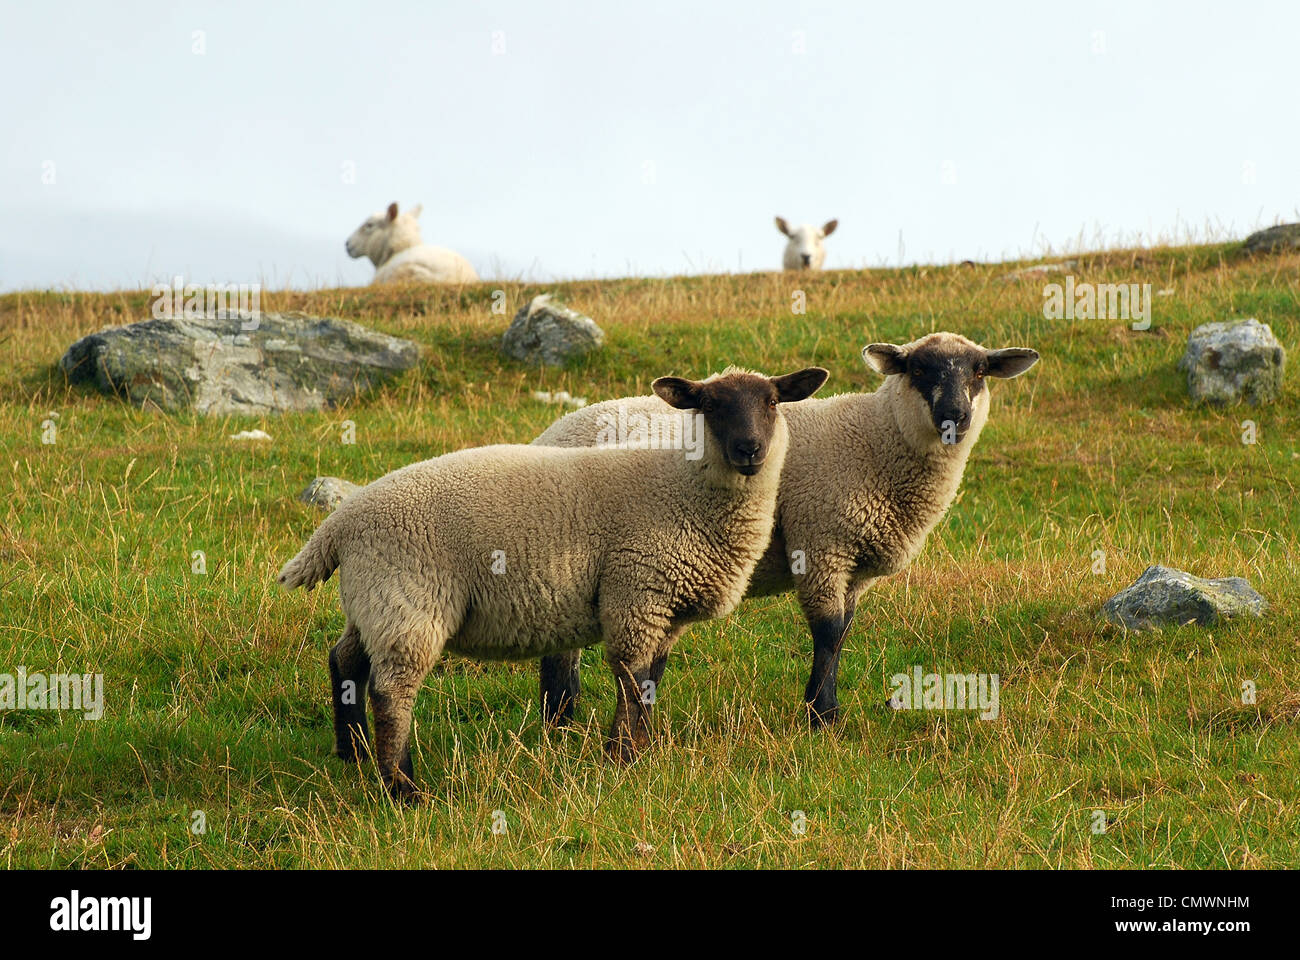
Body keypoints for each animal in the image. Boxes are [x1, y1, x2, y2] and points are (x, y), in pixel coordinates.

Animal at [278, 366, 829, 799]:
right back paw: (404, 790)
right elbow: (631, 677)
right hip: (408, 602)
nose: (749, 449)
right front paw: (621, 757)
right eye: (710, 405)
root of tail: (340, 524)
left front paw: (642, 749)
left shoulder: (665, 607)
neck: (683, 488)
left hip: (374, 600)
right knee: (392, 693)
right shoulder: (635, 591)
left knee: (345, 659)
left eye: (772, 402)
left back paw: (353, 752)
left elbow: (651, 679)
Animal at [534, 333, 1039, 726]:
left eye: (979, 370)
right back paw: (560, 720)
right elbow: (829, 631)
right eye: (918, 368)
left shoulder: (856, 568)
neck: (877, 439)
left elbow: (845, 631)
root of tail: (554, 431)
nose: (955, 416)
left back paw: (562, 718)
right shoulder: (821, 543)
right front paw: (823, 716)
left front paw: (823, 707)